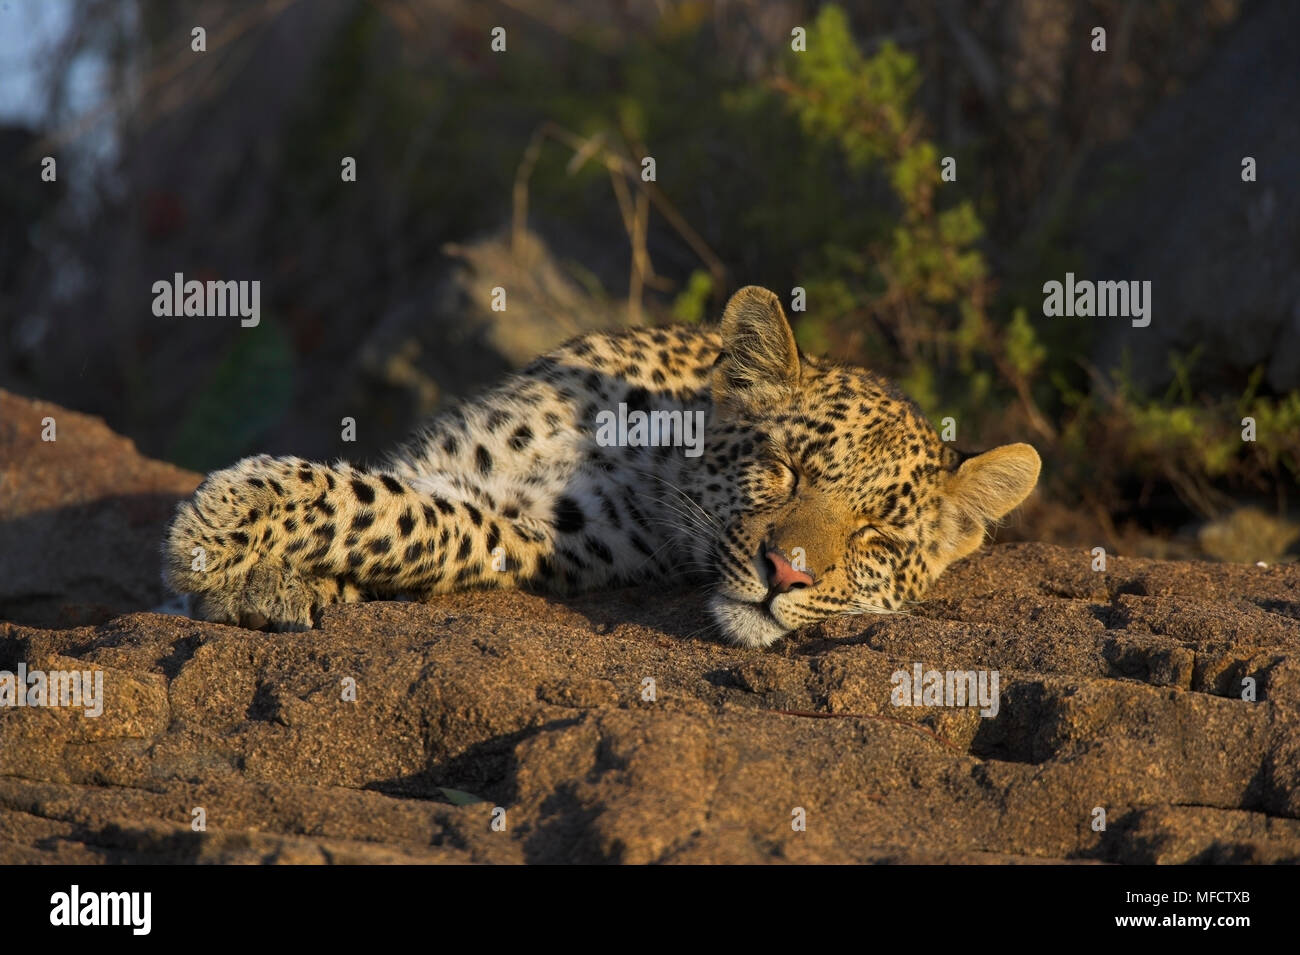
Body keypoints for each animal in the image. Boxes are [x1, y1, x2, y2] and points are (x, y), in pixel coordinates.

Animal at [163, 285, 1041, 648]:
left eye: (878, 539)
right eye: (788, 469)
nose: (786, 574)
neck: (644, 454)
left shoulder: (530, 535)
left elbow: (399, 515)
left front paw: (222, 530)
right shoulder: (449, 457)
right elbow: (379, 492)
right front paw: (234, 547)